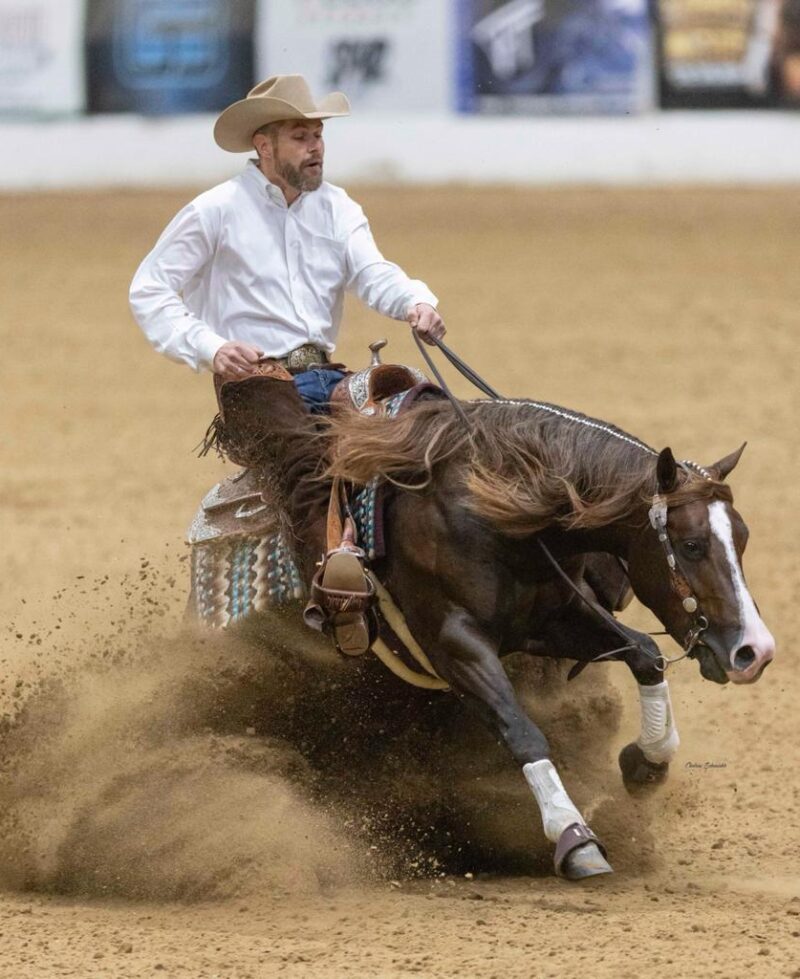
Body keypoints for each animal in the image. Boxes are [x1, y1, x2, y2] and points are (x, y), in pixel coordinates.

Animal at [189, 394, 775, 881]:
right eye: (693, 544)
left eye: (745, 538)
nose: (755, 652)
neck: (496, 508)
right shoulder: (454, 644)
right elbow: (522, 731)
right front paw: (576, 839)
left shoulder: (552, 621)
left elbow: (646, 654)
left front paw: (646, 764)